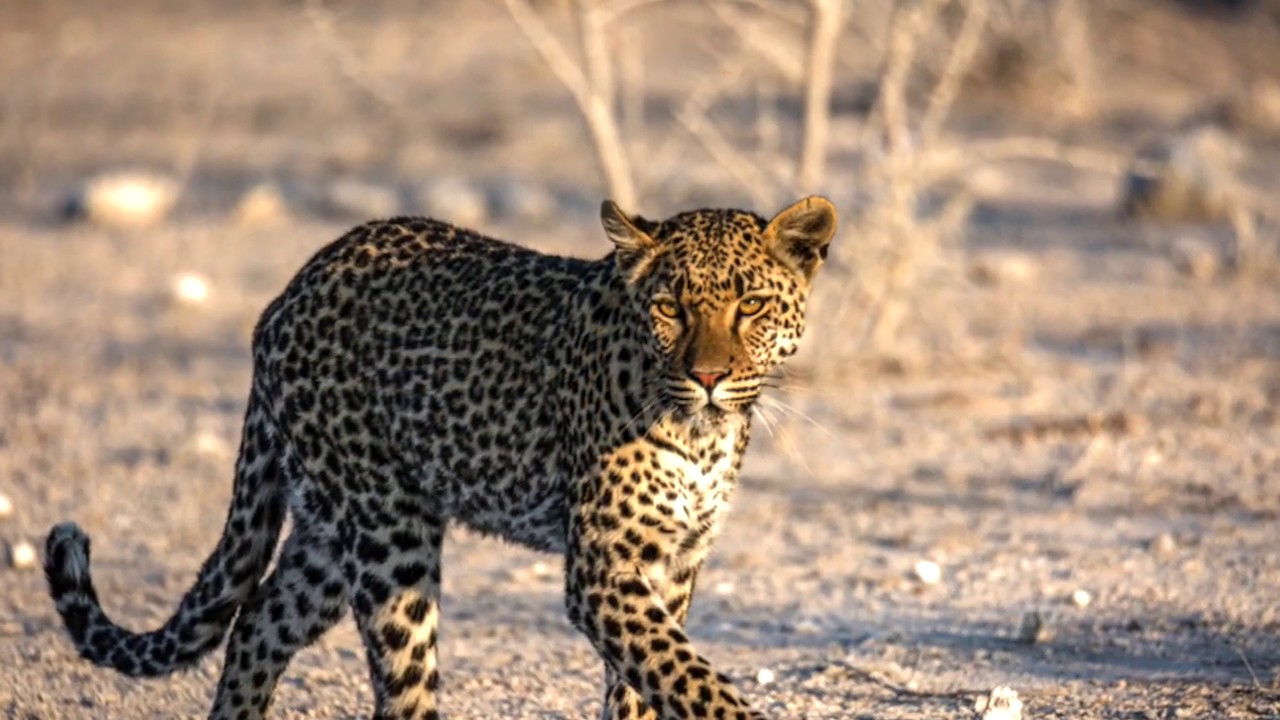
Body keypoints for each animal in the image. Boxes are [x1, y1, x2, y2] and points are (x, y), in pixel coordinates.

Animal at [44, 194, 838, 720]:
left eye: (751, 306)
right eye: (670, 307)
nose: (708, 376)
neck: (703, 435)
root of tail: (284, 297)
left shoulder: (673, 562)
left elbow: (650, 685)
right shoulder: (605, 566)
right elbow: (690, 678)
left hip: (331, 532)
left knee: (259, 620)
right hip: (387, 532)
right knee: (399, 686)